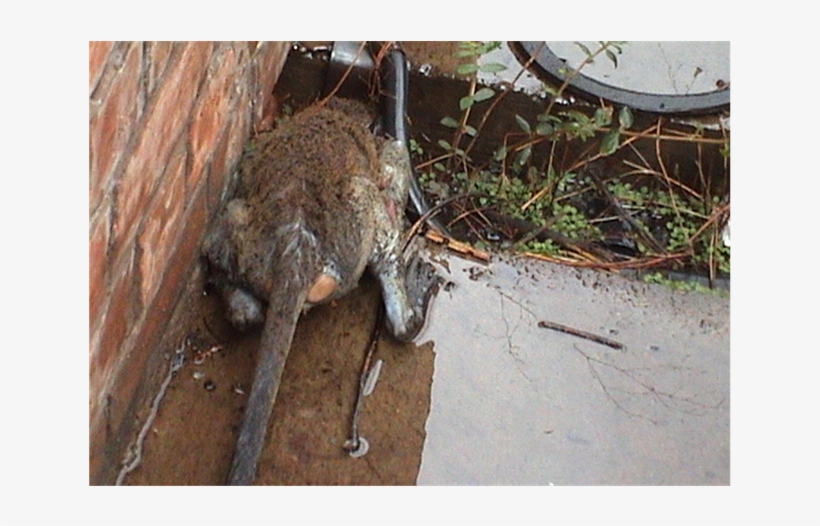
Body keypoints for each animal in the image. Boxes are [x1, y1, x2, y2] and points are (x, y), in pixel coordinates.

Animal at [202, 97, 439, 485]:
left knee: (227, 241)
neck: (337, 113)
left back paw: (238, 301)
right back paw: (409, 309)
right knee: (371, 200)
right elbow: (395, 162)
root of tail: (296, 249)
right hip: (352, 238)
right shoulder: (383, 158)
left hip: (246, 239)